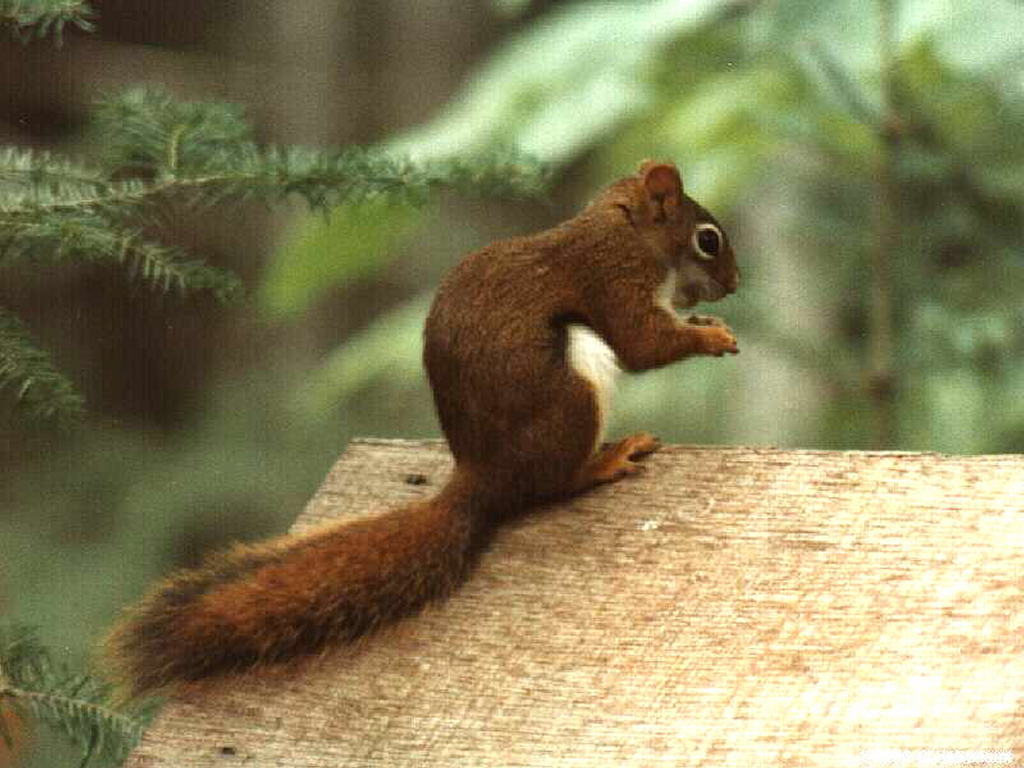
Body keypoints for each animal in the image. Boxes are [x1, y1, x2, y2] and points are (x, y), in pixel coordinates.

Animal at [103, 160, 739, 698]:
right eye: (707, 238)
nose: (735, 283)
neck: (622, 230)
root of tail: (482, 479)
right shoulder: (615, 282)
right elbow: (643, 344)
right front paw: (712, 336)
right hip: (573, 389)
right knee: (554, 483)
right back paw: (606, 459)